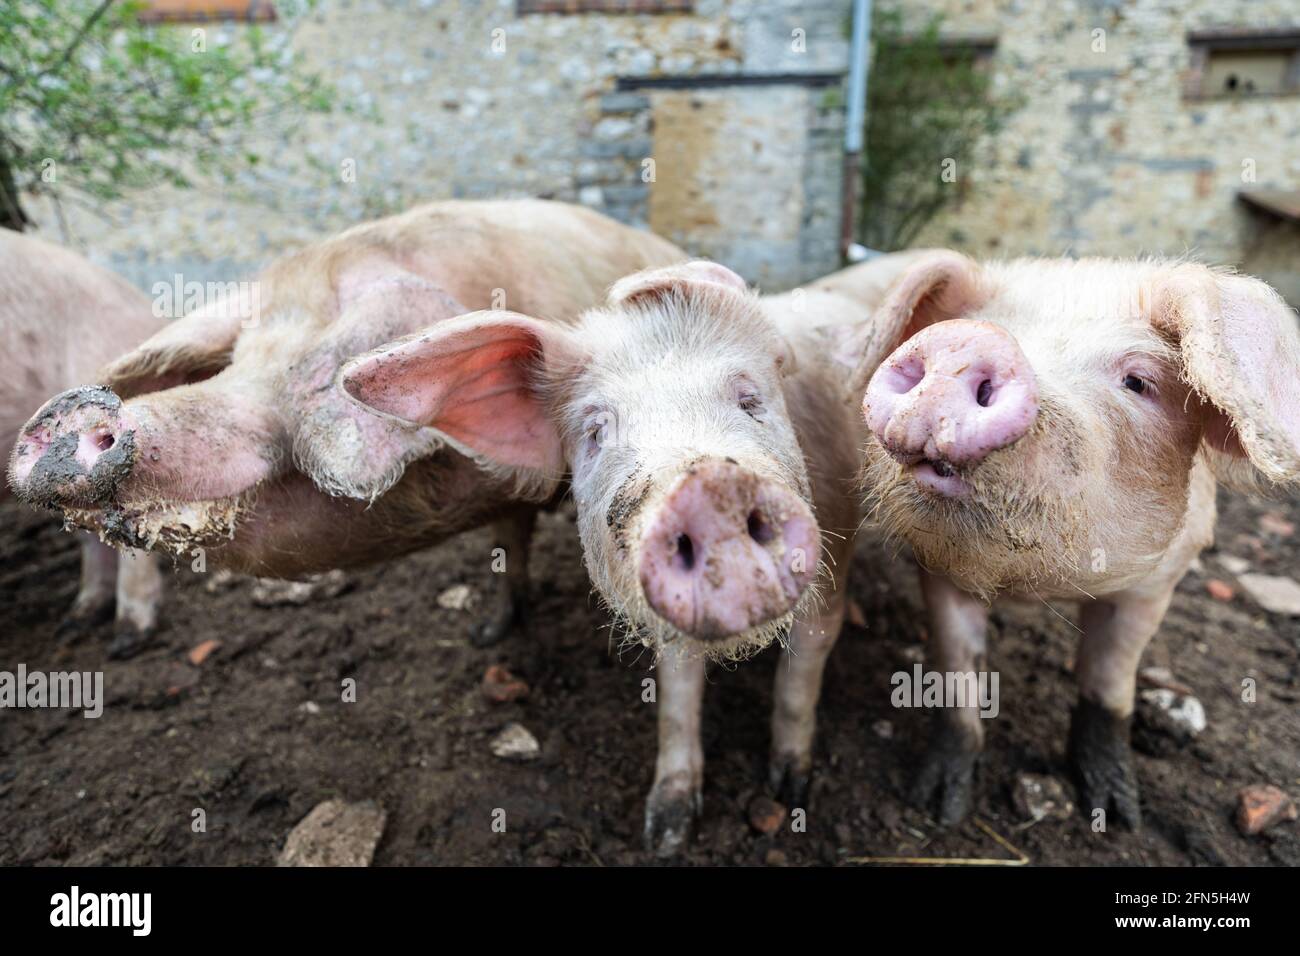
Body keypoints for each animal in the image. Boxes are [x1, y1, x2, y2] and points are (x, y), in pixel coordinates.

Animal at [341, 252, 927, 854]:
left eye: (749, 400)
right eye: (596, 432)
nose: (710, 489)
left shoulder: (833, 552)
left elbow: (801, 673)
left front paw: (789, 789)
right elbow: (676, 696)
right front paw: (664, 833)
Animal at [855, 251, 1300, 827]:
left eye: (1138, 381)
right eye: (980, 325)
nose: (970, 339)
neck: (1039, 583)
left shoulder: (1157, 582)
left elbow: (1109, 683)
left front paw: (1119, 816)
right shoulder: (938, 566)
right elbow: (957, 670)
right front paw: (936, 808)